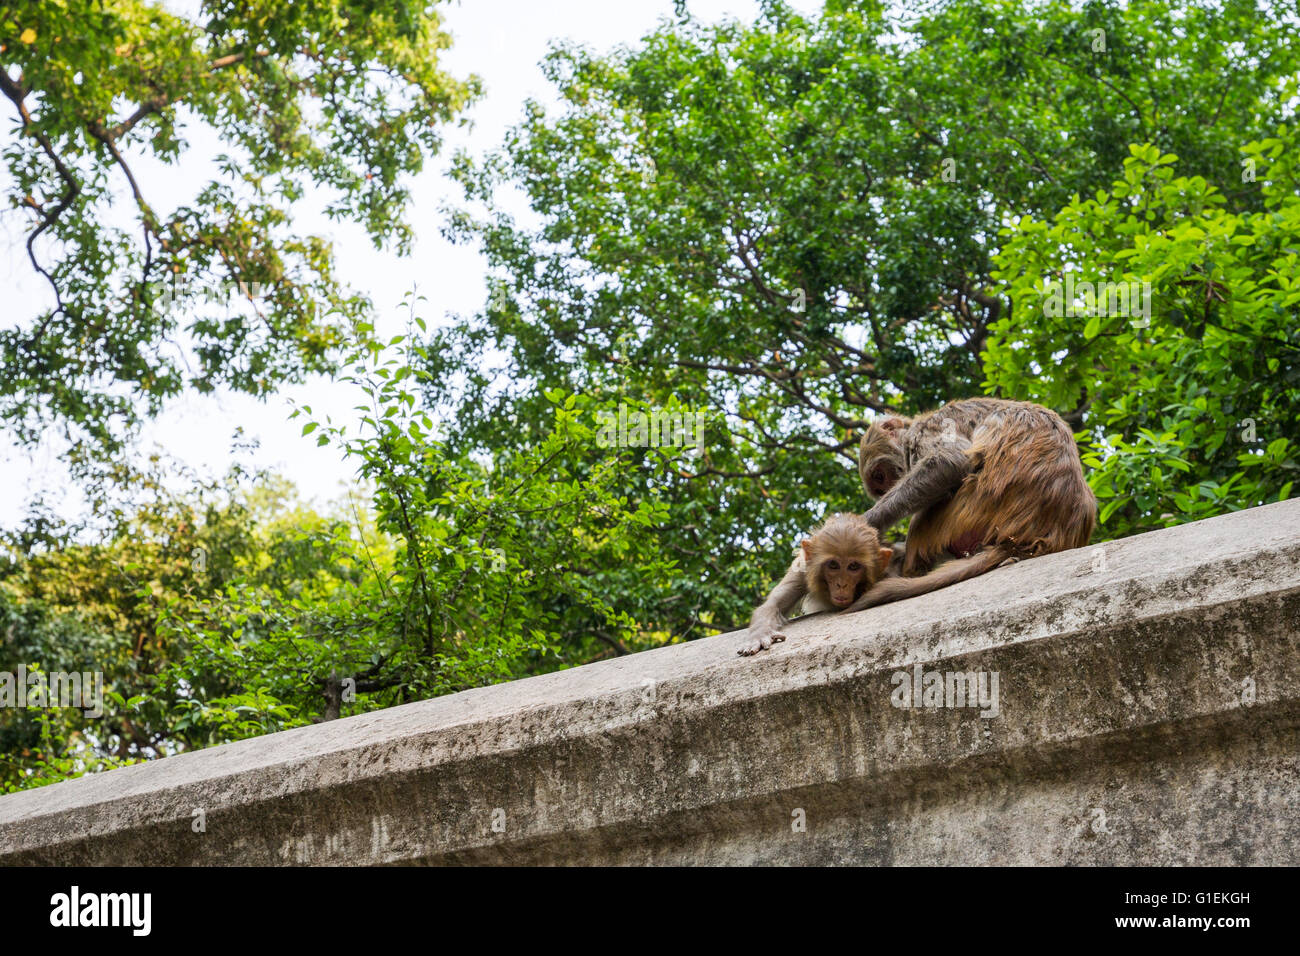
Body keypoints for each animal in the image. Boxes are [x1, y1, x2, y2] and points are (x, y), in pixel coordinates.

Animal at [739, 512, 894, 656]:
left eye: (854, 566)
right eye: (833, 565)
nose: (842, 584)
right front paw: (759, 635)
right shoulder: (801, 569)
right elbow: (771, 606)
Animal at [848, 397, 1096, 612]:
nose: (889, 486)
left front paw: (867, 522)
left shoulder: (929, 429)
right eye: (880, 486)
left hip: (967, 510)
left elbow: (950, 460)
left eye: (880, 476)